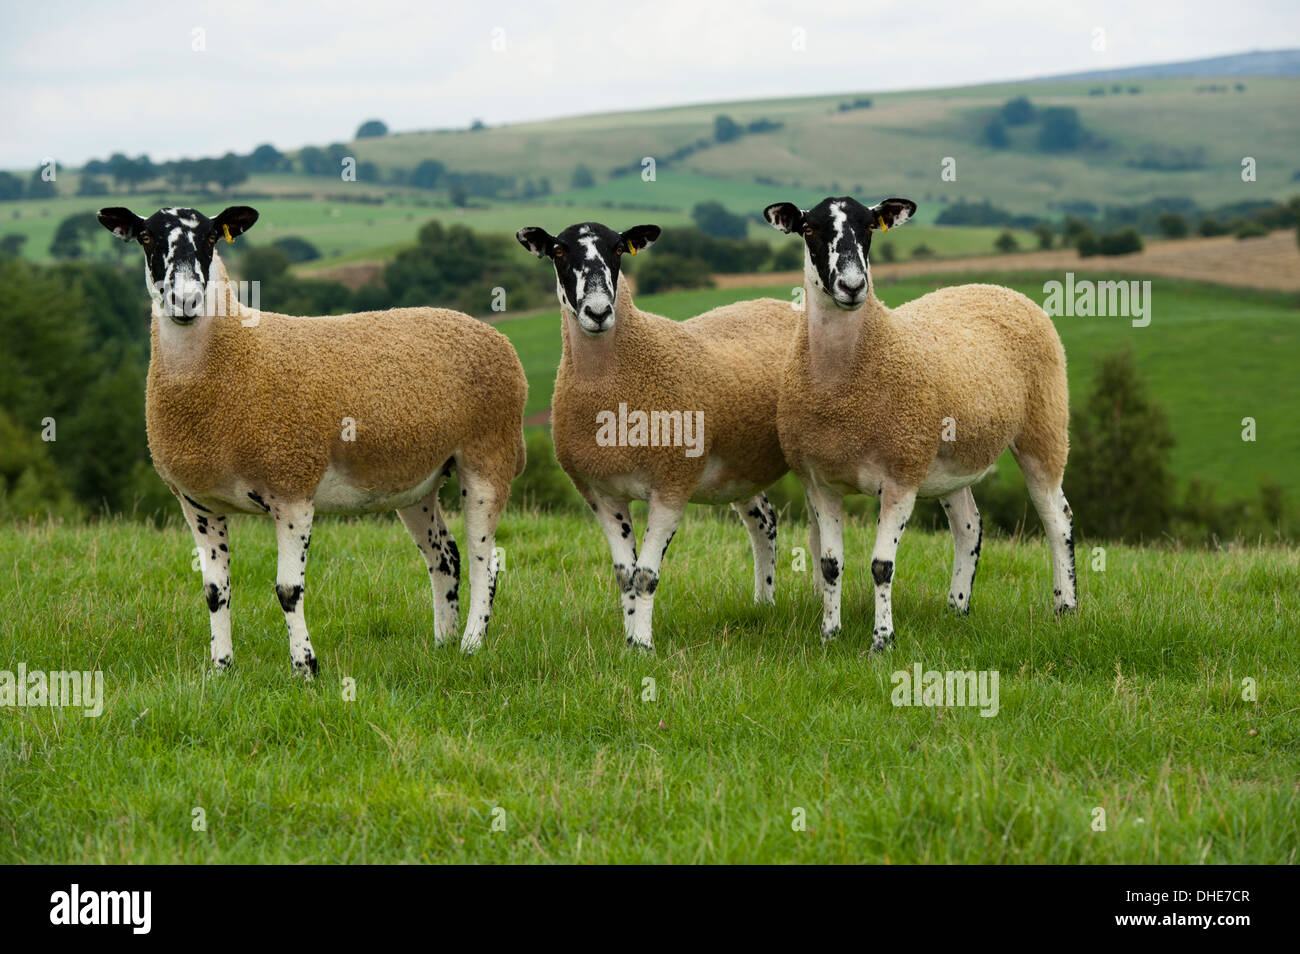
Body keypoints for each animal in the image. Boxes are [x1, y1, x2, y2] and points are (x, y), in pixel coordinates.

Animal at [96, 205, 526, 672]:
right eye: (146, 238)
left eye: (210, 238)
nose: (185, 300)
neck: (236, 352)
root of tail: (492, 332)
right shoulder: (197, 503)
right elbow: (215, 592)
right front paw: (221, 669)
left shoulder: (292, 489)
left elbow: (288, 590)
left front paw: (305, 668)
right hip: (417, 481)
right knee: (444, 556)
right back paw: (442, 645)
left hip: (489, 452)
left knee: (487, 560)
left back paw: (471, 644)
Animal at [515, 221, 804, 650]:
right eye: (558, 252)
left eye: (619, 249)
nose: (598, 312)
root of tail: (784, 305)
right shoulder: (600, 493)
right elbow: (624, 574)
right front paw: (629, 643)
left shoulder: (672, 484)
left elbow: (645, 576)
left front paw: (643, 646)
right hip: (740, 466)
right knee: (764, 522)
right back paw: (764, 604)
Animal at [762, 195, 1076, 649]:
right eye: (809, 230)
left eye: (869, 228)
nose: (853, 286)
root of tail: (999, 289)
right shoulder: (819, 481)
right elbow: (830, 565)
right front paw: (829, 635)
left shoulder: (901, 477)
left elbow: (881, 566)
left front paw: (882, 640)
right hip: (952, 459)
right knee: (969, 527)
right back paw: (957, 608)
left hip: (1044, 427)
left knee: (1058, 519)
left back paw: (1066, 607)